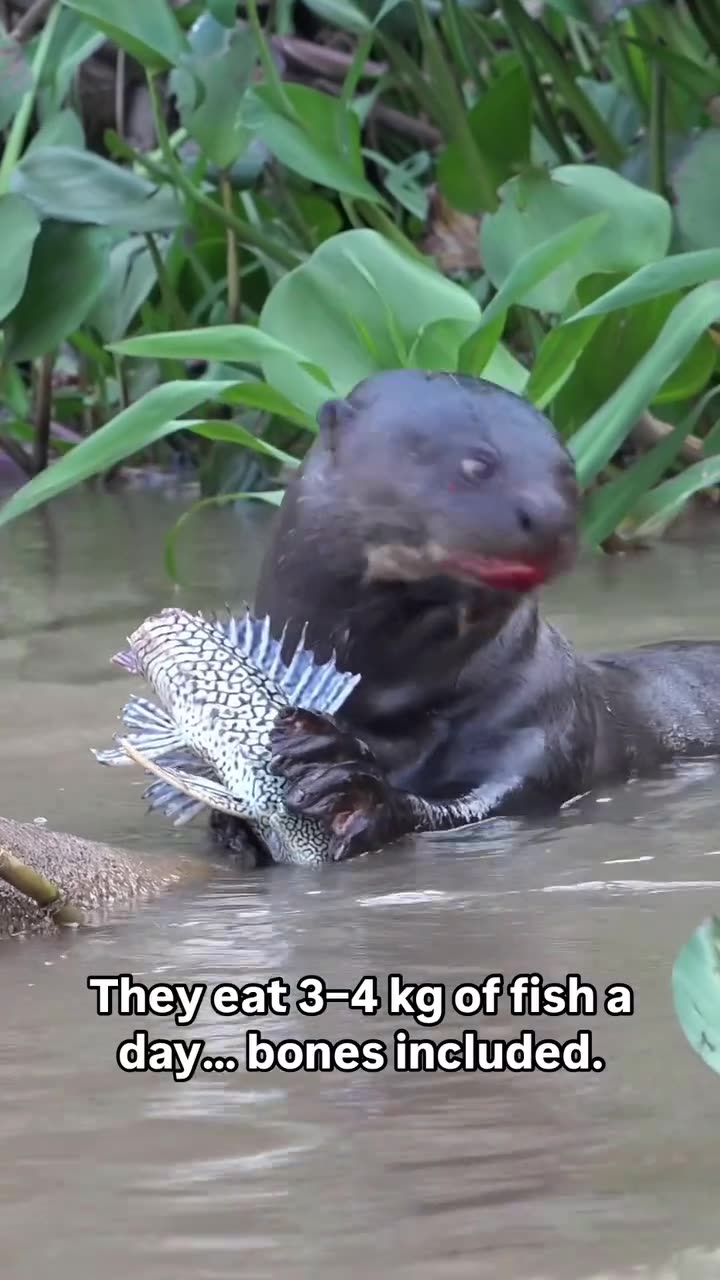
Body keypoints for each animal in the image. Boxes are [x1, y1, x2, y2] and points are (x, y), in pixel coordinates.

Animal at [211, 369, 720, 862]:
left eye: (569, 473)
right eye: (478, 464)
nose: (551, 518)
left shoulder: (548, 729)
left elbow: (485, 804)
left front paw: (352, 782)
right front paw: (233, 825)